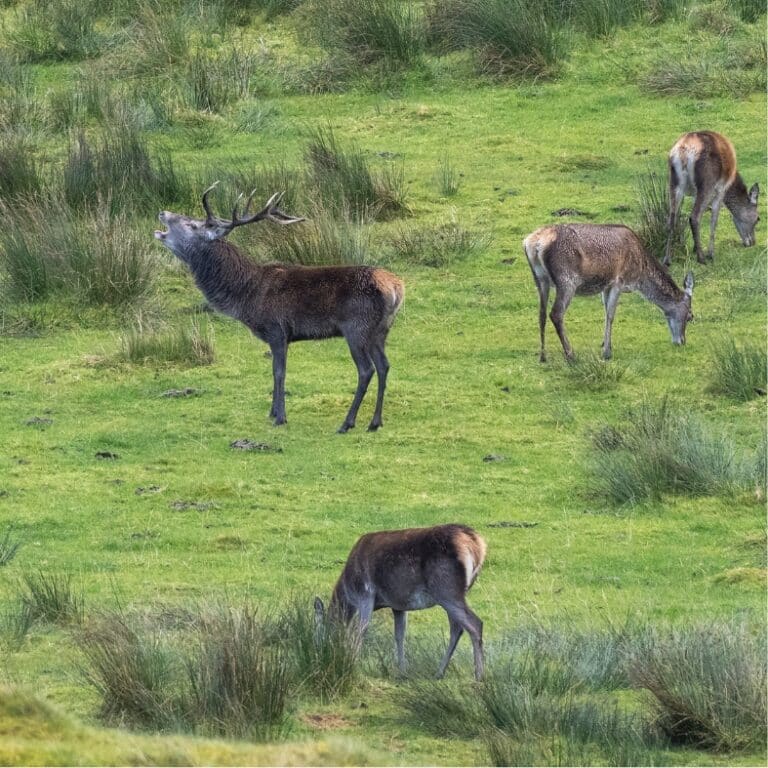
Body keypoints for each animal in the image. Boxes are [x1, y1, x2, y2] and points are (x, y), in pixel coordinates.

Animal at [154, 183, 404, 433]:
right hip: (380, 330)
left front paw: (280, 417)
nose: (163, 212)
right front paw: (272, 412)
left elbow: (279, 372)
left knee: (366, 369)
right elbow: (275, 372)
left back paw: (347, 423)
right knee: (384, 366)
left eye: (192, 224)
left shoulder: (276, 329)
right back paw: (375, 422)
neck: (247, 296)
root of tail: (396, 288)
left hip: (356, 327)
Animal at [314, 524, 487, 680]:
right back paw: (439, 672)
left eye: (318, 636)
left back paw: (479, 676)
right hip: (455, 593)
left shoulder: (365, 594)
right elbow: (399, 635)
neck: (348, 592)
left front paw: (352, 663)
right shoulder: (398, 605)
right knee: (457, 628)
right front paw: (402, 671)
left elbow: (360, 630)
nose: (320, 657)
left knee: (474, 624)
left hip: (446, 589)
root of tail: (478, 546)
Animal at [523, 223, 694, 362]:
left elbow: (605, 313)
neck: (638, 274)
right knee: (556, 314)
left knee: (541, 314)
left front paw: (605, 344)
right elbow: (611, 315)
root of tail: (533, 243)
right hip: (567, 280)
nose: (682, 341)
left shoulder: (606, 286)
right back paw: (571, 355)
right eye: (690, 317)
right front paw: (606, 353)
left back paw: (543, 356)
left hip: (540, 279)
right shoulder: (618, 281)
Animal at [665, 130, 759, 266]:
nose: (752, 242)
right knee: (694, 216)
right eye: (758, 219)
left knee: (672, 218)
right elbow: (714, 220)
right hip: (707, 183)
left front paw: (695, 248)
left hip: (674, 182)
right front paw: (710, 254)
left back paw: (667, 259)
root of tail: (684, 151)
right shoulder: (721, 189)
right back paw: (702, 258)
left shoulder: (695, 193)